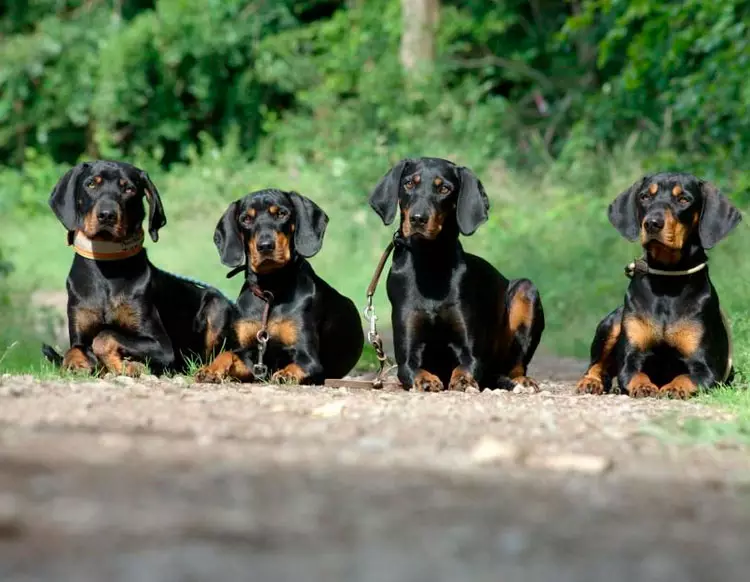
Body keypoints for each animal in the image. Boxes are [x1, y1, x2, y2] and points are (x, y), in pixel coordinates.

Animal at [41, 161, 235, 378]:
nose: (107, 215)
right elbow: (73, 350)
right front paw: (78, 363)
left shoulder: (161, 346)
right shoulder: (79, 331)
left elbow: (105, 335)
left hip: (217, 305)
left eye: (129, 189)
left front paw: (126, 365)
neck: (106, 266)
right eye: (91, 184)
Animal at [195, 189, 366, 386]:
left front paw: (287, 373)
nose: (265, 246)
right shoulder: (252, 357)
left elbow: (300, 366)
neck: (270, 291)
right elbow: (227, 354)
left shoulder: (309, 359)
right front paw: (210, 369)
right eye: (246, 219)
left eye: (282, 214)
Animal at [370, 156, 548, 392]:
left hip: (525, 290)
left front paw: (463, 380)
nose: (418, 219)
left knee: (516, 365)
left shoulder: (471, 352)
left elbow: (465, 366)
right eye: (408, 183)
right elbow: (412, 368)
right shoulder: (406, 355)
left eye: (444, 188)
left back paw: (521, 381)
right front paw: (426, 380)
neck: (430, 263)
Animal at [580, 173, 744, 400]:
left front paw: (674, 387)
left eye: (683, 199)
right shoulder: (632, 359)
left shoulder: (707, 368)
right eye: (644, 197)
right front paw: (644, 386)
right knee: (596, 366)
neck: (668, 281)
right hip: (612, 322)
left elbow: (685, 376)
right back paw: (590, 382)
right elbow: (635, 373)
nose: (652, 223)